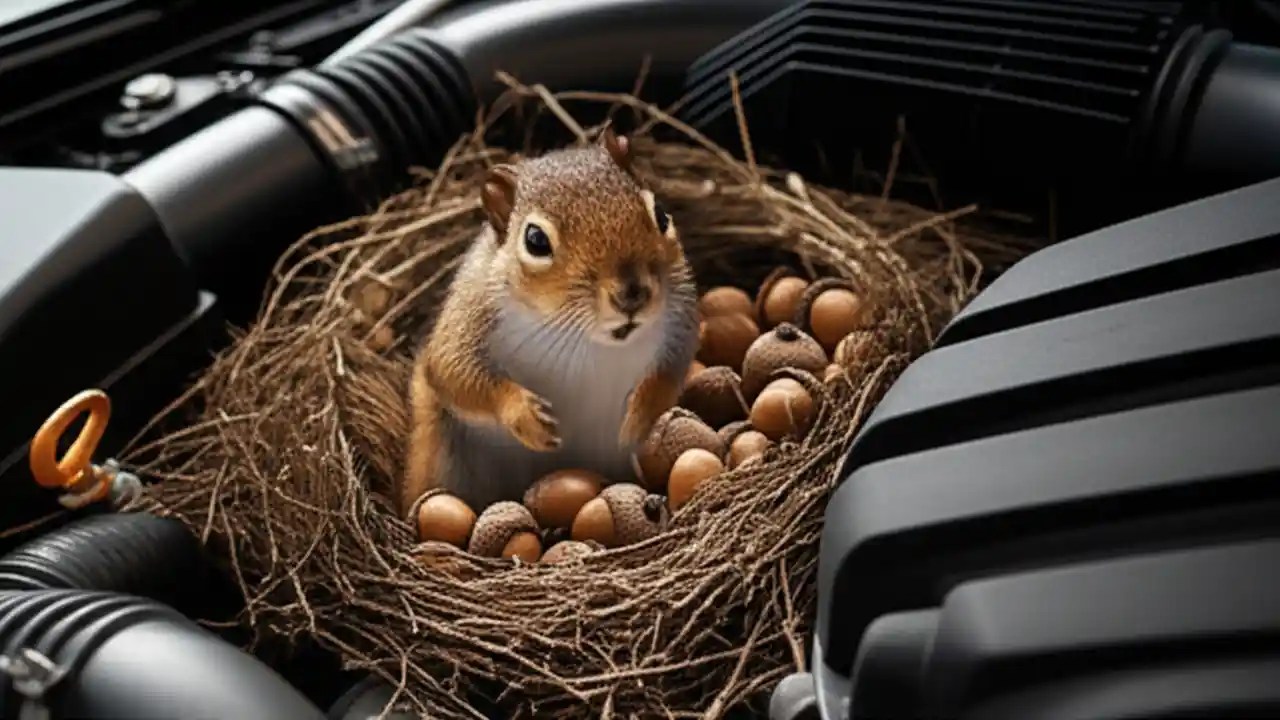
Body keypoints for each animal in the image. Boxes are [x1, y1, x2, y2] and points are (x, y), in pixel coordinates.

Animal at [400, 129, 701, 517]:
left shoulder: (680, 315)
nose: (632, 293)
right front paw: (525, 414)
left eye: (661, 215)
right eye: (536, 240)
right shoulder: (469, 316)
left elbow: (672, 369)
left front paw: (642, 413)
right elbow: (453, 370)